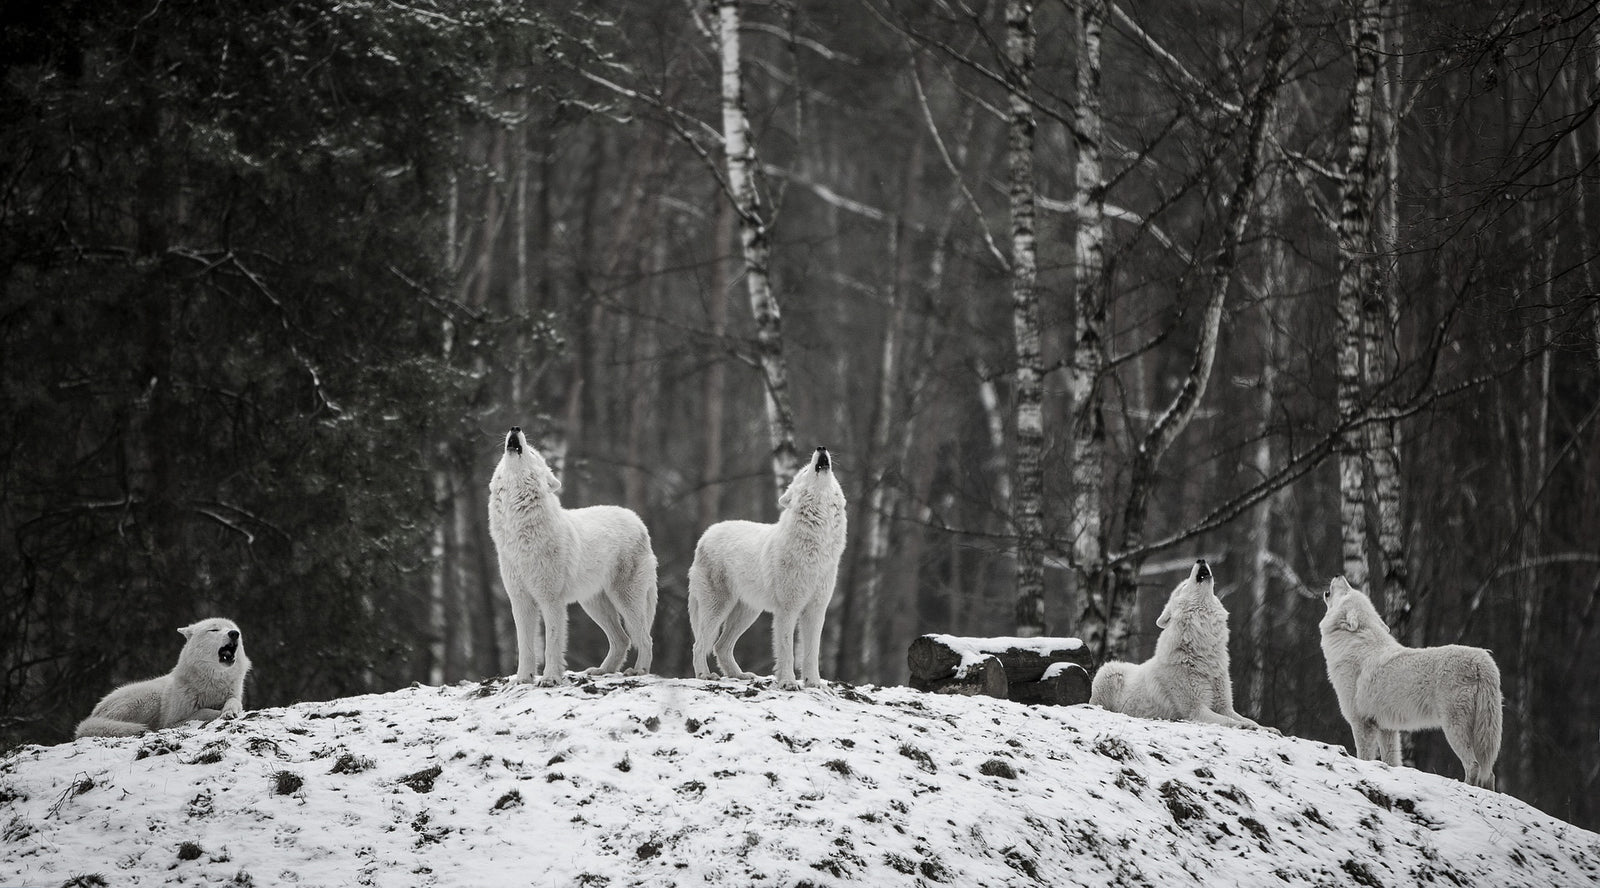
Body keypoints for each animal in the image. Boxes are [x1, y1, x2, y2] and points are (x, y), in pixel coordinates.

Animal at [74, 618, 251, 738]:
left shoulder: (233, 695)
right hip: (148, 698)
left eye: (232, 629)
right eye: (214, 630)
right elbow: (204, 711)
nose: (234, 634)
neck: (213, 683)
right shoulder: (172, 721)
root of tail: (93, 714)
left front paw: (229, 711)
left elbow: (234, 702)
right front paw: (218, 712)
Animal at [488, 426, 657, 686]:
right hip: (594, 605)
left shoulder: (551, 600)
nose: (515, 428)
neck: (519, 534)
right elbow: (525, 646)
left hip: (625, 600)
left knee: (645, 638)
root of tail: (638, 521)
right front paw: (523, 679)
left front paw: (550, 678)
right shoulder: (520, 600)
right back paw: (602, 670)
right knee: (622, 639)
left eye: (533, 453)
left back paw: (638, 671)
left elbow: (552, 643)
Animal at [689, 446, 847, 690]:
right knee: (699, 645)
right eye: (804, 471)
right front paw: (788, 682)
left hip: (748, 613)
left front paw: (813, 683)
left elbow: (811, 652)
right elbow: (787, 650)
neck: (817, 547)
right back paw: (705, 675)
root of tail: (706, 535)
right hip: (718, 608)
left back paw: (740, 675)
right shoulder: (787, 610)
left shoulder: (816, 610)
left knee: (720, 646)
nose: (821, 448)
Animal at [1090, 560, 1272, 731]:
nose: (1200, 559)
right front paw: (1247, 726)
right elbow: (1231, 721)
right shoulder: (1196, 710)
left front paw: (1268, 728)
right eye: (1184, 586)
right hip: (1109, 671)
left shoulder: (1224, 706)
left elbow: (1248, 719)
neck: (1203, 653)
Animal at [1320, 575, 1502, 789]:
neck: (1354, 645)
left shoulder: (1361, 723)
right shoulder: (1386, 728)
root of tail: (1482, 660)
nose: (1339, 576)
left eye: (1347, 591)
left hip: (1454, 728)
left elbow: (1363, 757)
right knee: (1489, 773)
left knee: (1473, 766)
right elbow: (1391, 761)